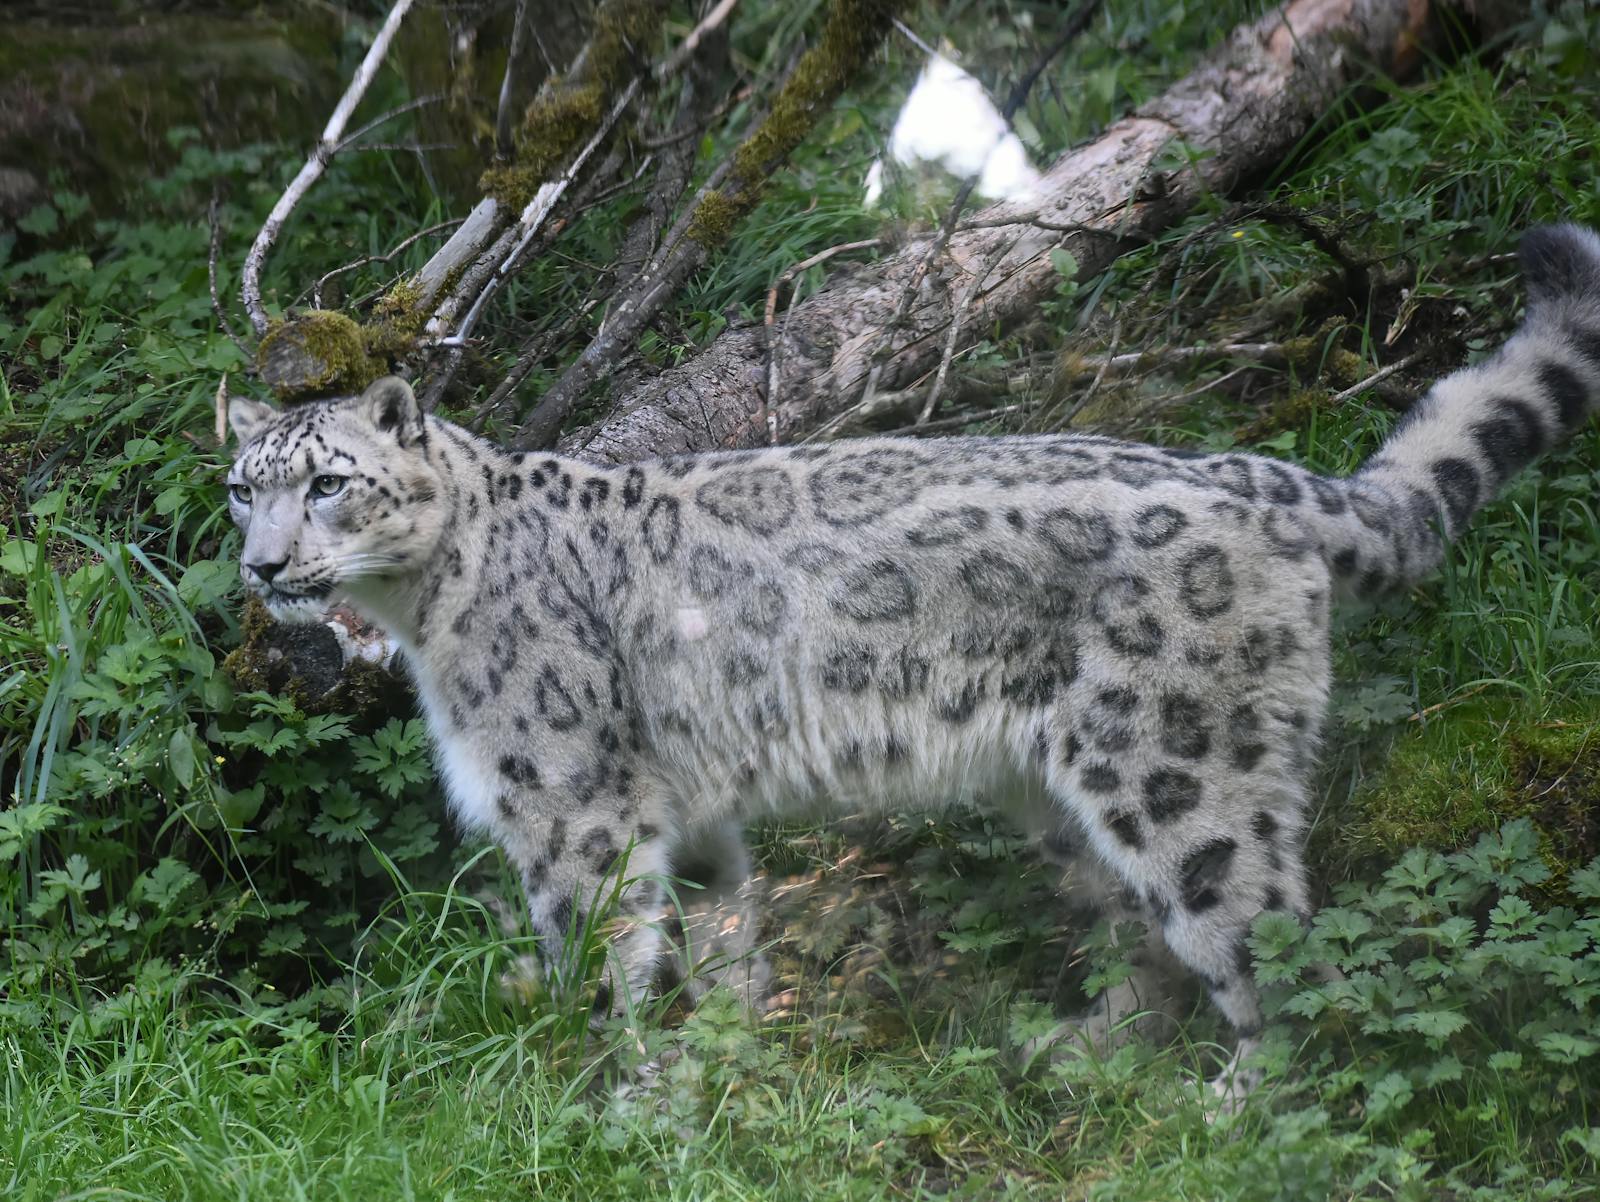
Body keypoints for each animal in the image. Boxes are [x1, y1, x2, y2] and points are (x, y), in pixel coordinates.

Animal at [225, 223, 1600, 1099]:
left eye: (329, 483)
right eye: (243, 485)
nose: (261, 564)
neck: (421, 613)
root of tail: (1260, 474)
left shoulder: (572, 808)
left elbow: (591, 961)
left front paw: (579, 1089)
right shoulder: (690, 811)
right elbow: (716, 941)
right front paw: (710, 1073)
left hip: (1179, 767)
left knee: (1268, 937)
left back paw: (1243, 1106)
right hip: (1061, 786)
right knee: (1141, 931)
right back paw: (1085, 1052)